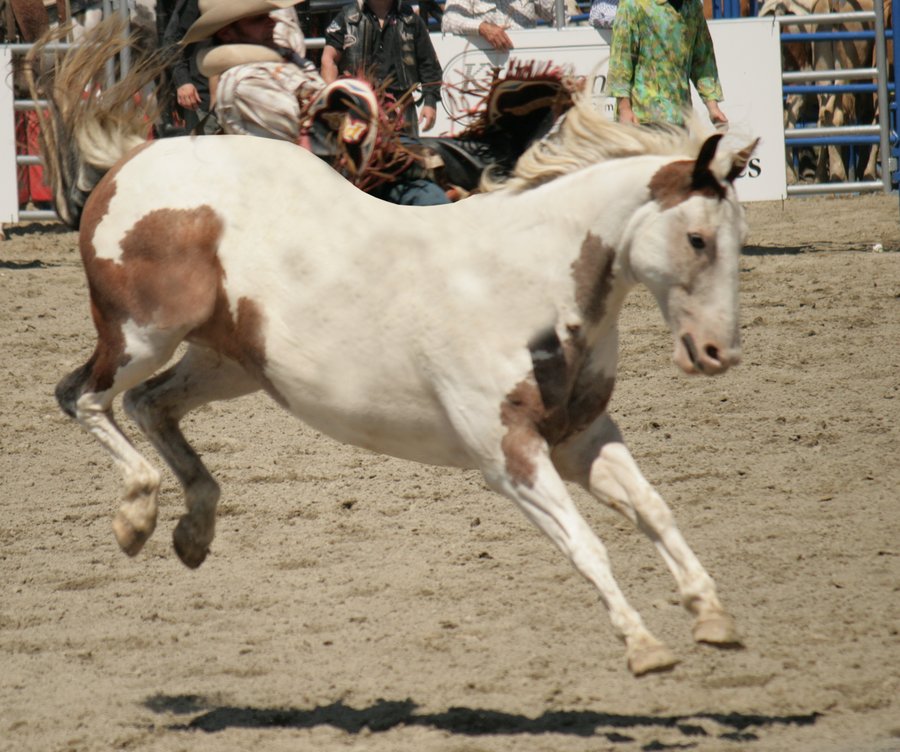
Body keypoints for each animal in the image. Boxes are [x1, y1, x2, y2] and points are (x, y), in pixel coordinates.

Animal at [29, 20, 758, 676]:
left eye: (739, 235)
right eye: (697, 238)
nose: (715, 351)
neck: (525, 275)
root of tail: (134, 160)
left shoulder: (581, 436)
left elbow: (654, 511)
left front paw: (712, 615)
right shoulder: (508, 455)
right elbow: (586, 544)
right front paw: (644, 647)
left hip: (229, 364)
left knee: (152, 406)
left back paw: (193, 527)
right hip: (141, 336)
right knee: (84, 398)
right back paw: (136, 514)